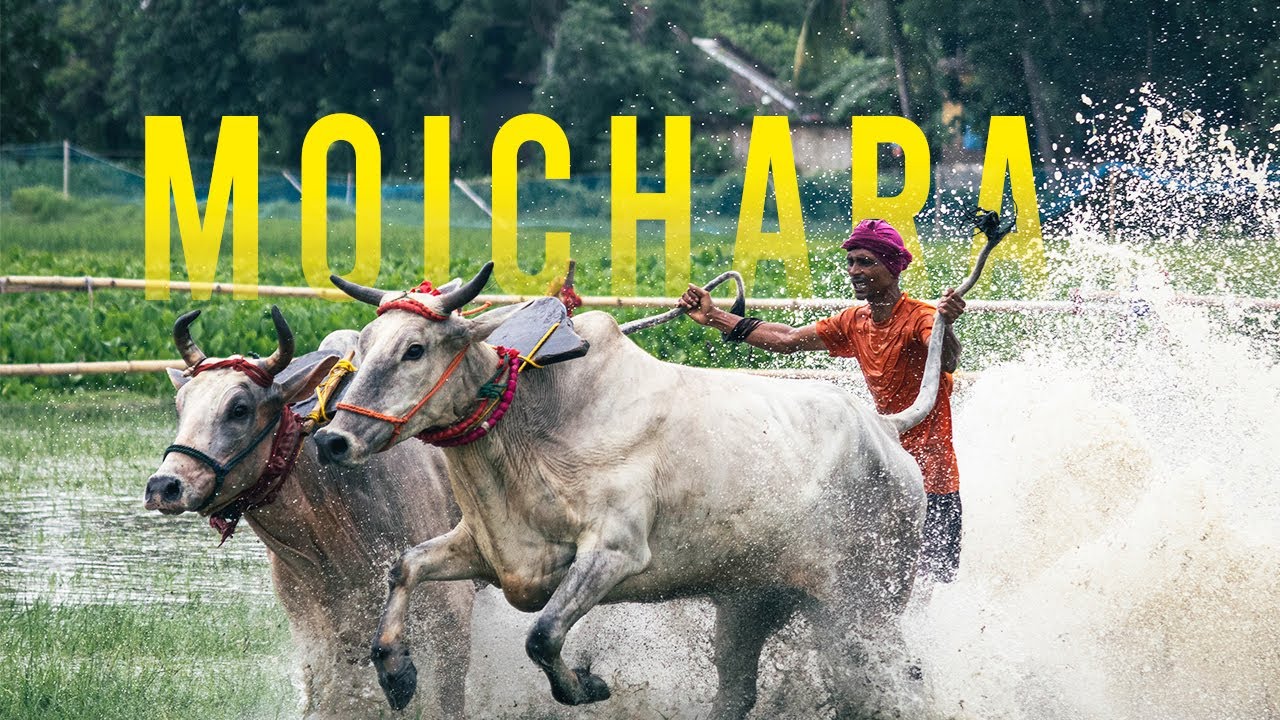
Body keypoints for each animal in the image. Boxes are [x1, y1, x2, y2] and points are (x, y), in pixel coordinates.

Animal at [308, 260, 975, 720]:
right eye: (361, 347)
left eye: (414, 349)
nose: (333, 439)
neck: (533, 421)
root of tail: (884, 427)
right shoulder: (489, 549)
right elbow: (404, 567)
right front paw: (397, 673)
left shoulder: (615, 553)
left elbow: (542, 637)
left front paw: (589, 684)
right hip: (749, 600)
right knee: (738, 689)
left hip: (861, 605)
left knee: (886, 680)